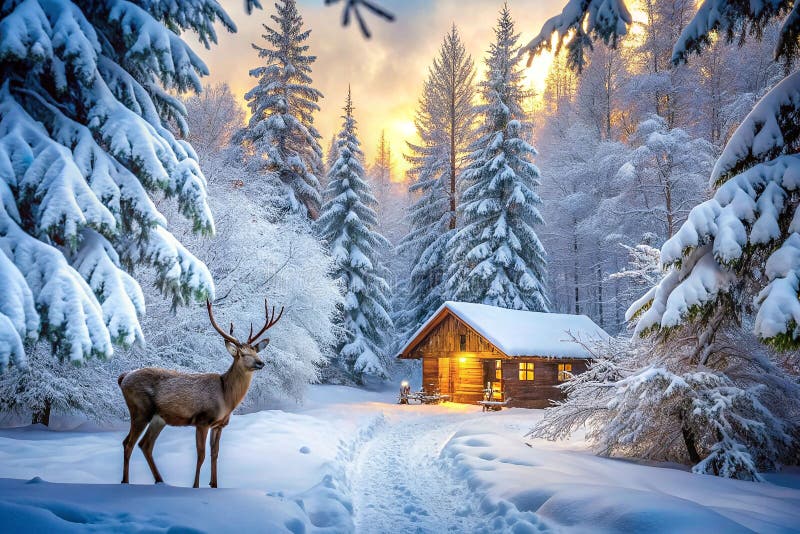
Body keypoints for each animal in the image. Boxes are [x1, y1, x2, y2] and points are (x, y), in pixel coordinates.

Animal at [118, 298, 283, 488]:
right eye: (241, 354)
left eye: (255, 351)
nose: (260, 362)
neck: (226, 398)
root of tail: (123, 378)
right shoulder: (202, 420)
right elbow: (201, 455)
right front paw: (195, 486)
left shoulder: (219, 425)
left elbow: (215, 454)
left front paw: (214, 485)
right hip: (140, 410)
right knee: (128, 443)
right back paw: (125, 482)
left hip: (158, 418)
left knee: (145, 444)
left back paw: (160, 481)